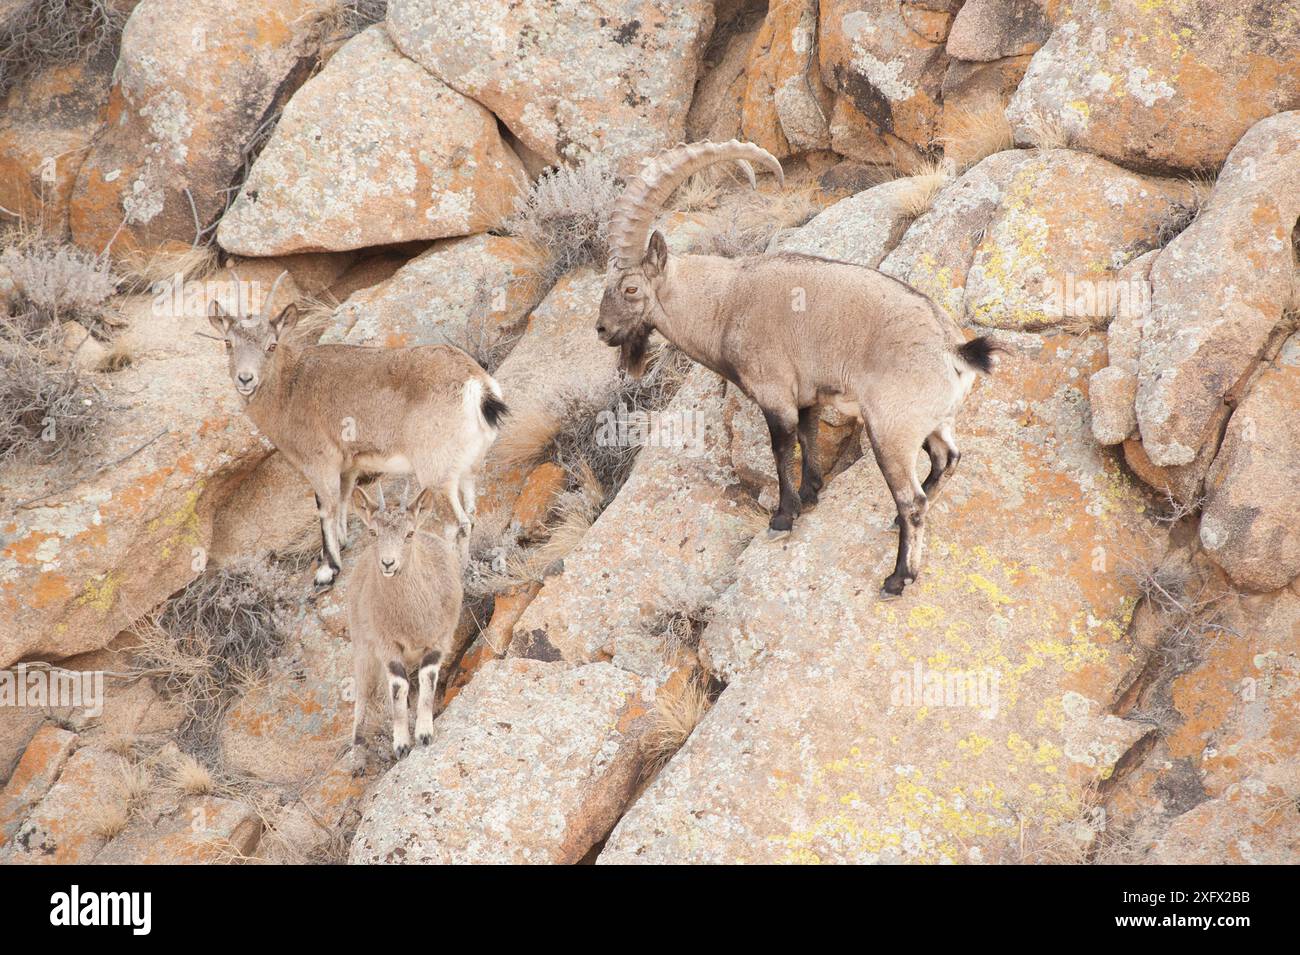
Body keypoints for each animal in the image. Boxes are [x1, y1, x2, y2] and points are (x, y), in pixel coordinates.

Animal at [208, 274, 507, 587]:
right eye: (228, 342)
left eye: (272, 345)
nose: (245, 379)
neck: (289, 388)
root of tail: (478, 386)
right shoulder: (348, 465)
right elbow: (343, 500)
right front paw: (341, 543)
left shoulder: (320, 461)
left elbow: (325, 507)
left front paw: (328, 570)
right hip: (468, 467)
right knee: (471, 514)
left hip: (435, 472)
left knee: (456, 523)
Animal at [346, 483, 461, 765]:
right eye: (373, 532)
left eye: (409, 533)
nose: (388, 563)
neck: (411, 620)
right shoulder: (387, 645)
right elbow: (398, 688)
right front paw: (401, 744)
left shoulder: (439, 639)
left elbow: (427, 679)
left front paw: (424, 733)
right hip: (363, 647)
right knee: (363, 693)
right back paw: (357, 749)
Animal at [596, 140, 1003, 597]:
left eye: (631, 288)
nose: (602, 329)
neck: (723, 305)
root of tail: (953, 348)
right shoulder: (809, 394)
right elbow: (809, 440)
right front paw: (811, 493)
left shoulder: (775, 394)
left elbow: (781, 450)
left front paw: (783, 516)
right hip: (935, 422)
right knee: (947, 459)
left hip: (891, 430)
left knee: (911, 499)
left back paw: (898, 577)